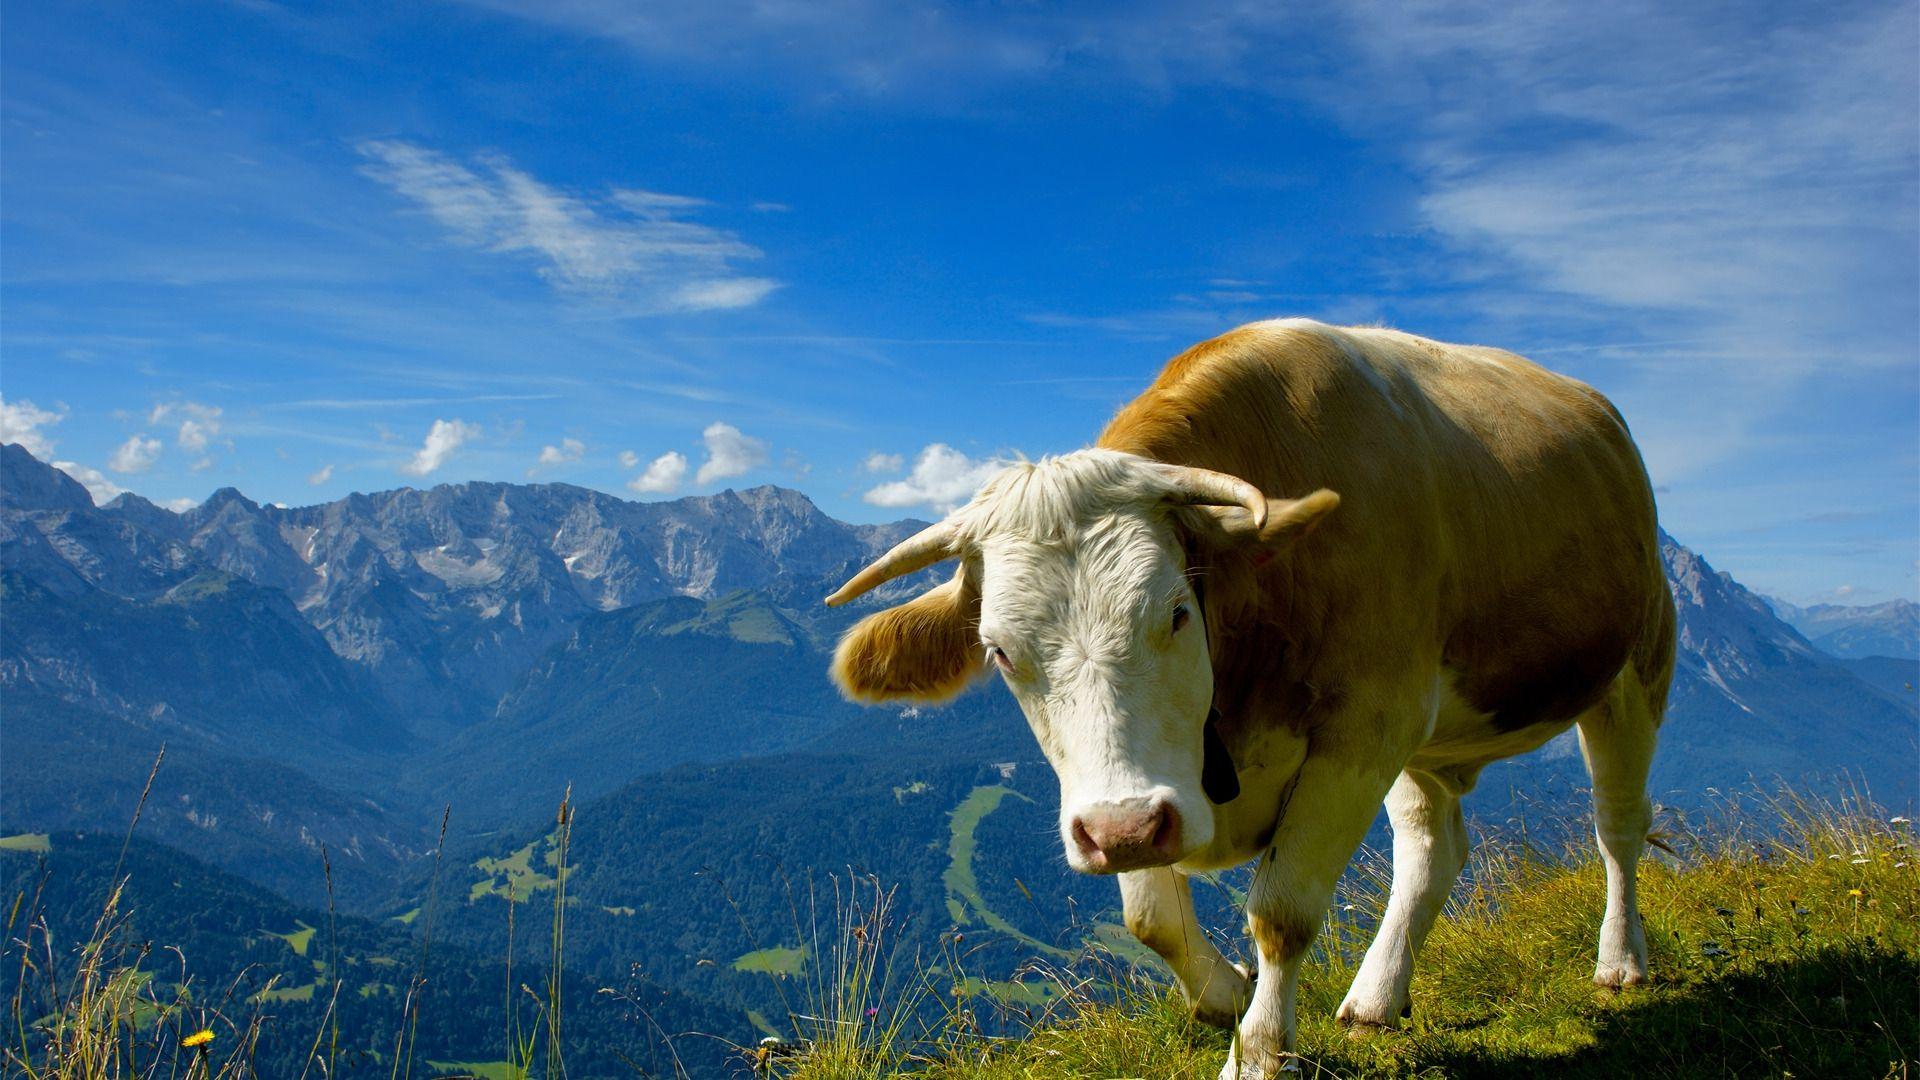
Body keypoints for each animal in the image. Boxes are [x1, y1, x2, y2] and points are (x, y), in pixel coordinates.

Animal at [824, 318, 1674, 1078]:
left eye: (1176, 611)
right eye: (1000, 652)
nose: (1121, 831)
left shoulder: (1362, 731)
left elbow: (1282, 913)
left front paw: (1258, 1054)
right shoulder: (1146, 785)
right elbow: (1150, 918)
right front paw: (1228, 994)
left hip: (1636, 667)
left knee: (1618, 825)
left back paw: (1620, 961)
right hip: (1427, 741)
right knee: (1433, 845)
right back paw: (1377, 997)